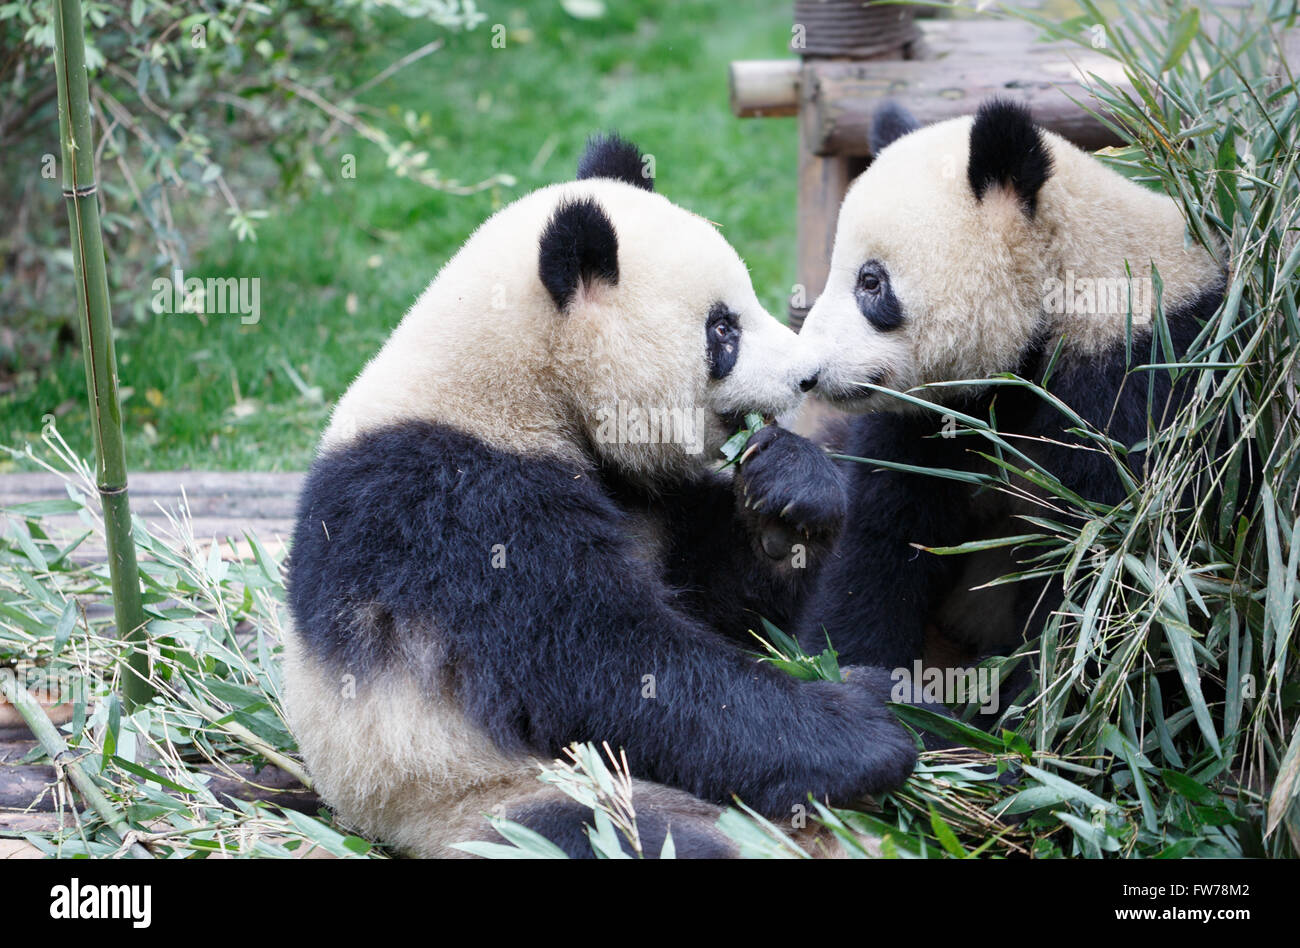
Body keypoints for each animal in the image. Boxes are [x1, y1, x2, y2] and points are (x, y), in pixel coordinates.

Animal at [282, 134, 918, 859]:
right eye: (722, 329)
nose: (805, 376)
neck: (516, 384)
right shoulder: (455, 504)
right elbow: (603, 661)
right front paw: (866, 733)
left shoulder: (645, 494)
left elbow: (725, 596)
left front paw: (789, 500)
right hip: (486, 798)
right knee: (627, 835)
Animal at [793, 100, 1226, 709]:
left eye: (871, 282)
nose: (808, 375)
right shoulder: (935, 413)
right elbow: (885, 525)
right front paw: (853, 670)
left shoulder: (1139, 379)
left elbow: (1100, 567)